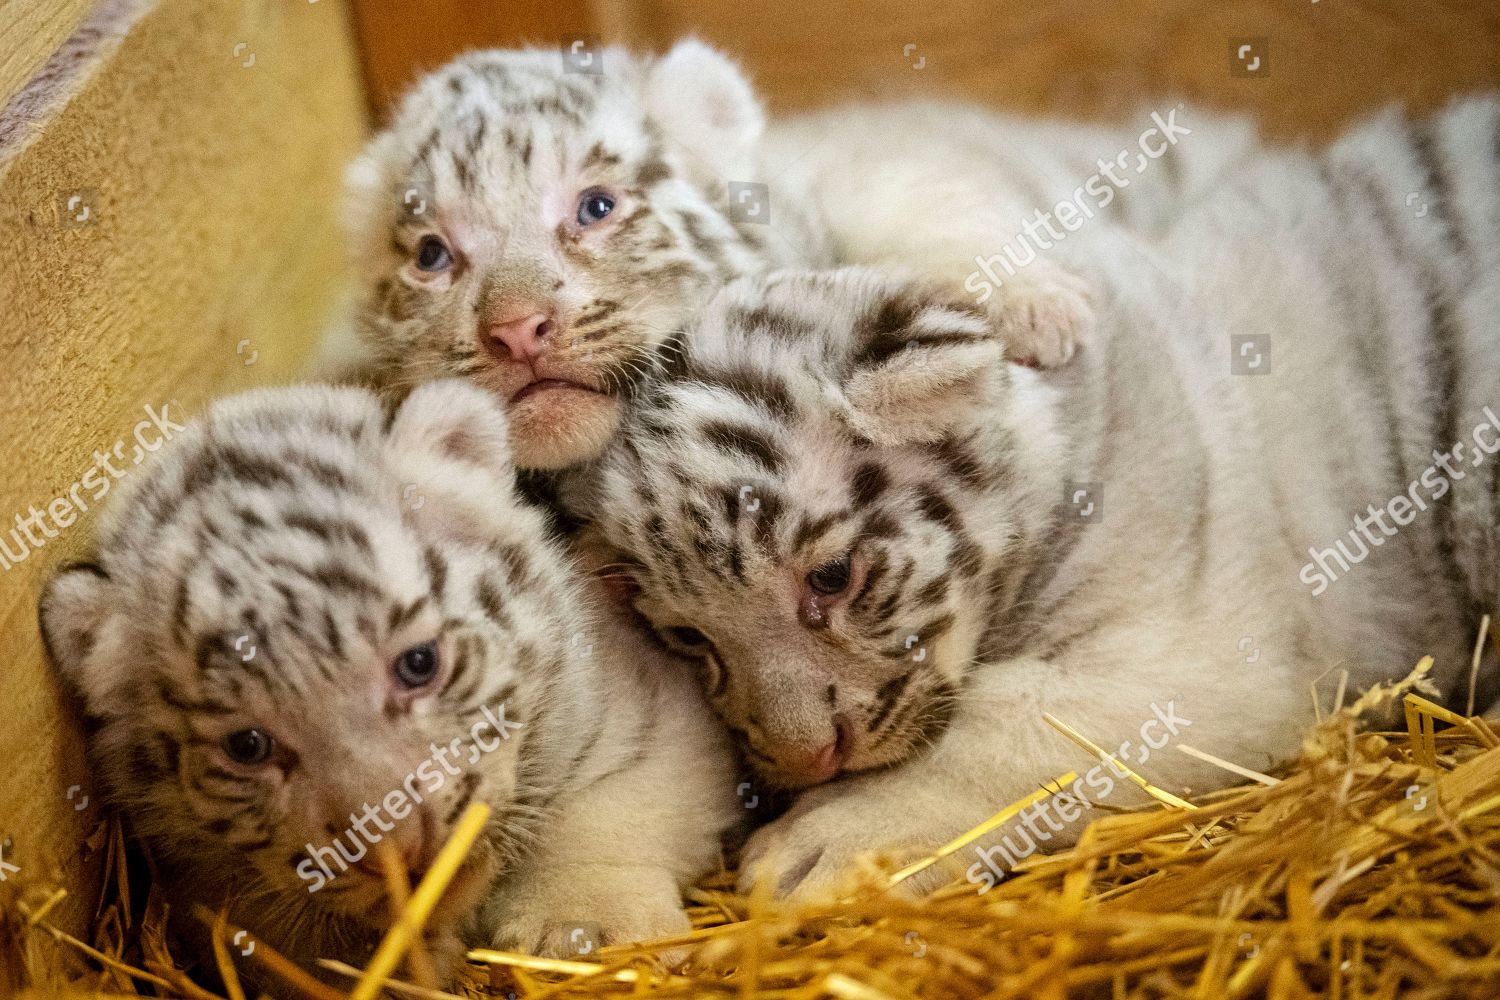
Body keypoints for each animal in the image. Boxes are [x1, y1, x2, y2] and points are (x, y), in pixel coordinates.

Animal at [38, 380, 740, 983]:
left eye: (419, 664)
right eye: (247, 746)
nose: (397, 850)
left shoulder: (645, 712)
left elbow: (610, 811)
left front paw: (580, 927)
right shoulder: (200, 883)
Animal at [330, 41, 1255, 469]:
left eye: (596, 207)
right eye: (432, 255)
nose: (516, 330)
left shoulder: (861, 172)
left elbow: (928, 201)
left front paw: (1038, 305)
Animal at [571, 95, 1500, 898]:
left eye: (830, 579)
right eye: (689, 637)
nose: (807, 762)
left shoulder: (1200, 656)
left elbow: (1007, 729)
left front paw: (821, 846)